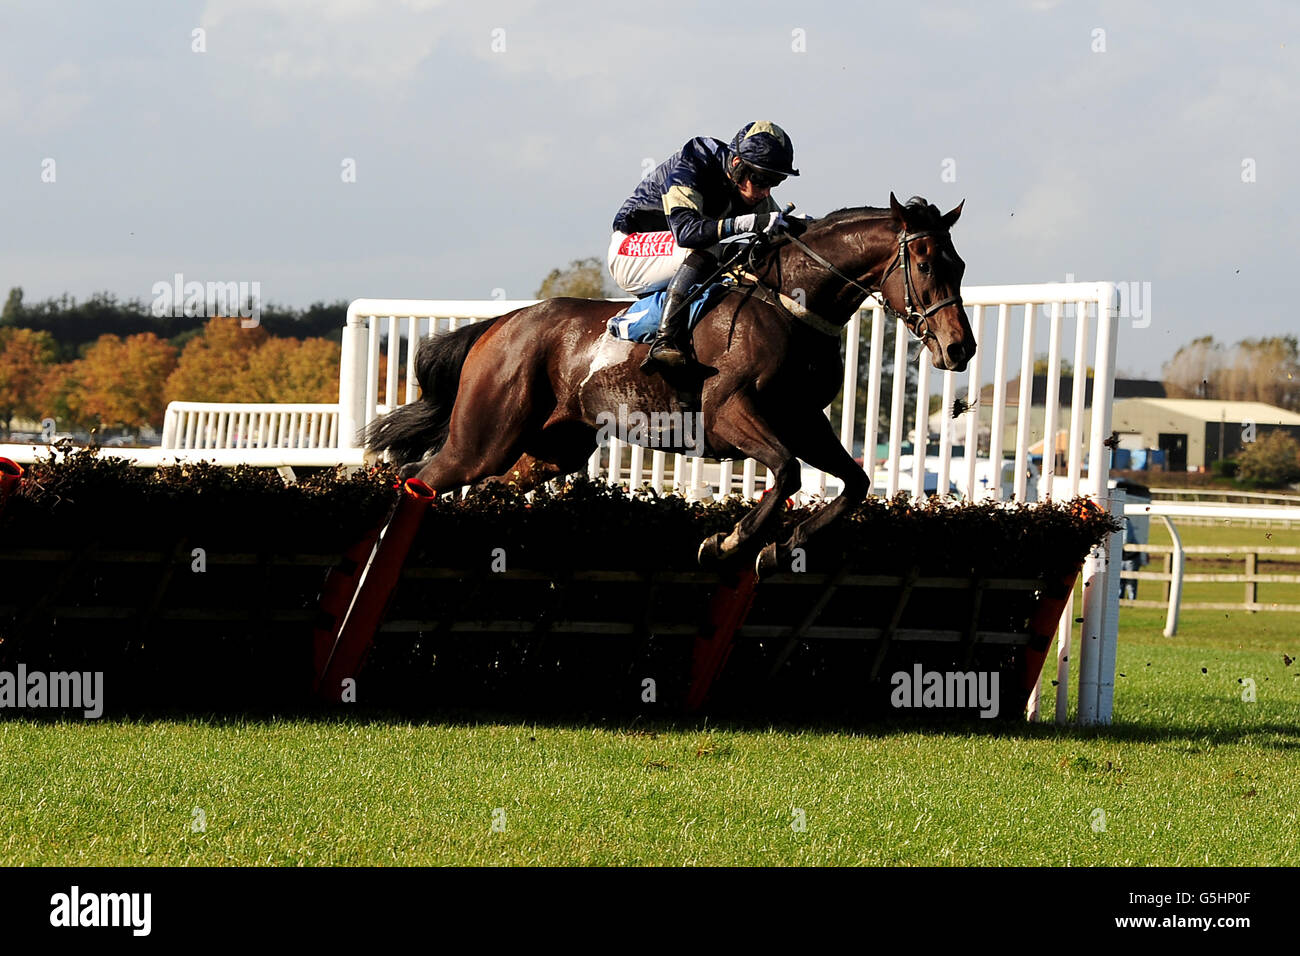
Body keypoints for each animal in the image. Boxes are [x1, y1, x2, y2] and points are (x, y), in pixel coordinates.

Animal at [365, 193, 975, 576]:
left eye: (960, 264)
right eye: (925, 264)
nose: (959, 348)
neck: (789, 304)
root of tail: (501, 324)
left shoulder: (803, 420)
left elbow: (854, 484)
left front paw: (778, 552)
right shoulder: (730, 412)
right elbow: (786, 473)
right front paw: (725, 542)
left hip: (552, 448)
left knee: (489, 486)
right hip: (484, 439)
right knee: (421, 476)